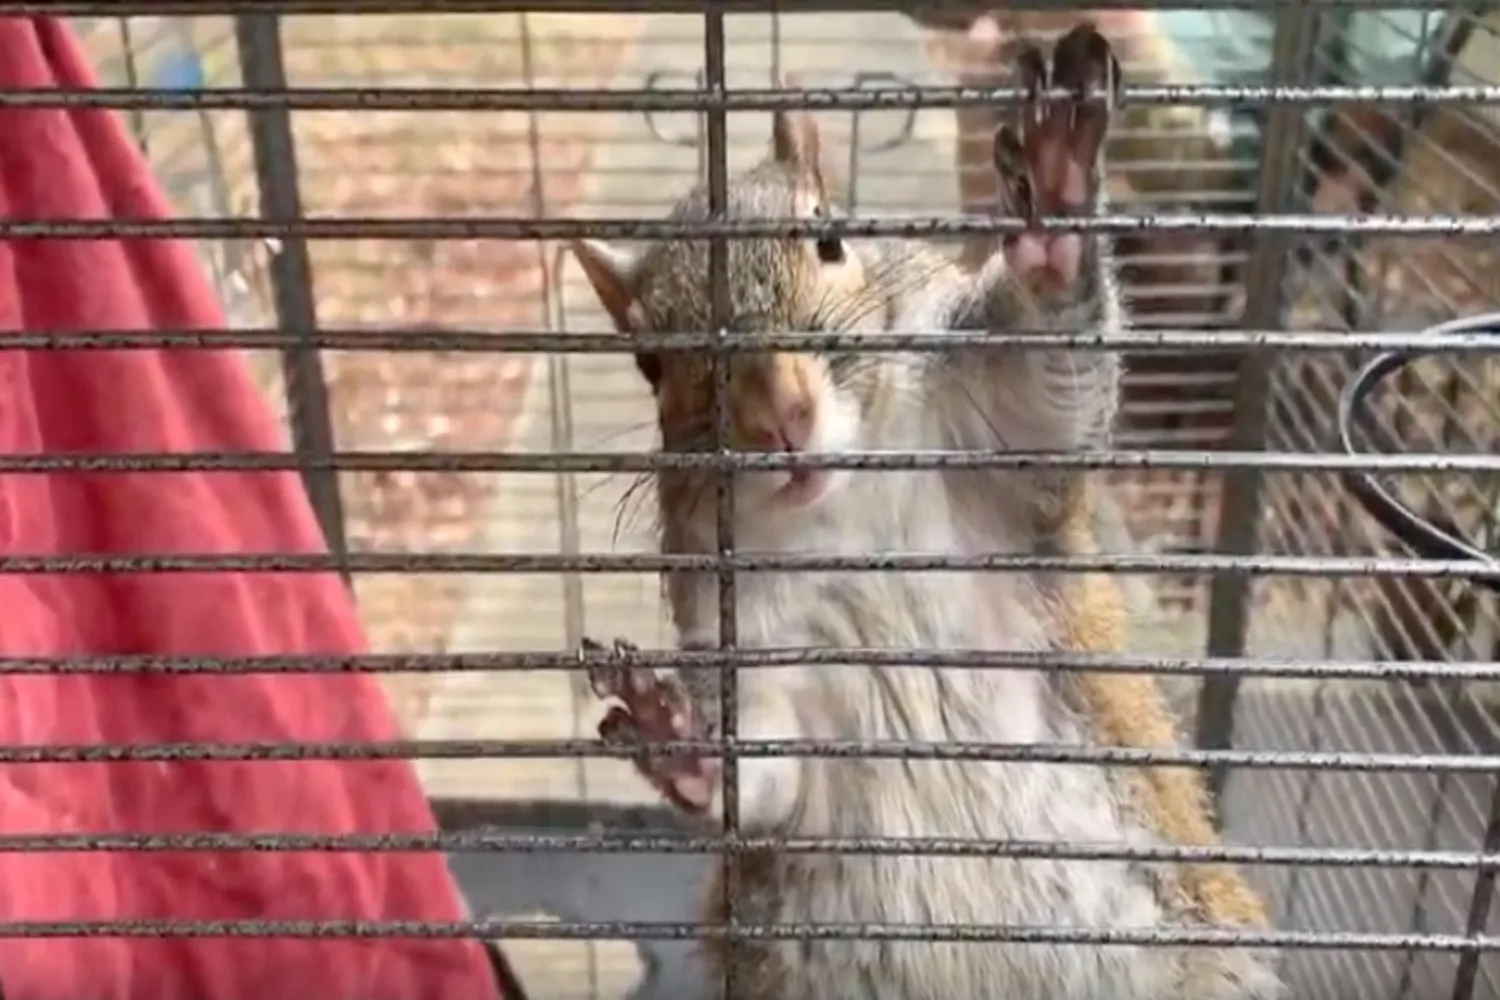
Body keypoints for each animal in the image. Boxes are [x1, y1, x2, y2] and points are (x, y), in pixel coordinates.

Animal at [570, 23, 1280, 1000]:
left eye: (830, 238)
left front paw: (1055, 207)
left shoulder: (998, 448)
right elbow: (765, 759)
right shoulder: (753, 640)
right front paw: (677, 734)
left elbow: (1042, 390)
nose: (779, 415)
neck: (842, 517)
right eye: (648, 361)